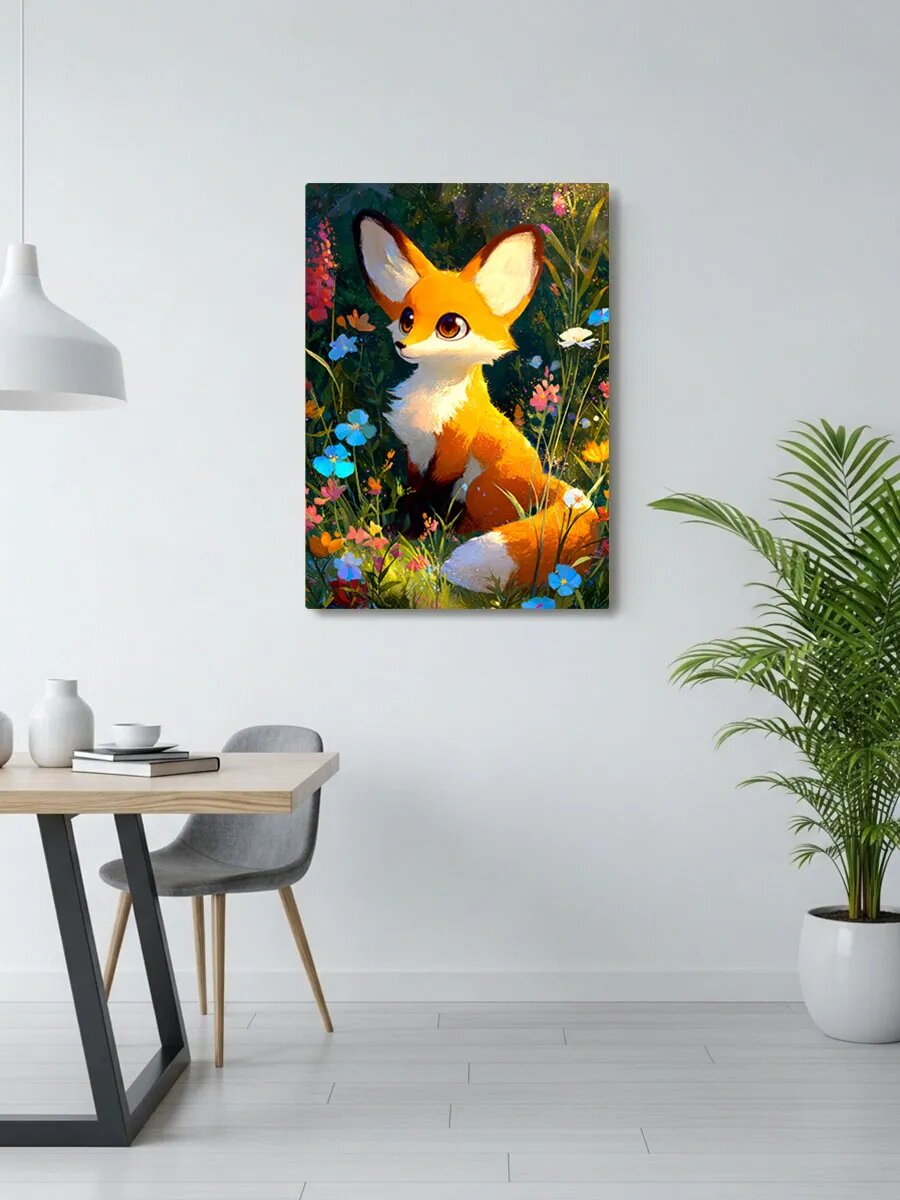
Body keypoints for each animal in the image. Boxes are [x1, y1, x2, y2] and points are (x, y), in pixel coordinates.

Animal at [352, 209, 601, 593]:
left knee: (478, 520)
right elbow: (413, 492)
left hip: (481, 488)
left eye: (449, 327)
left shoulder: (452, 450)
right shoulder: (416, 450)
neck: (434, 397)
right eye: (407, 318)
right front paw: (400, 527)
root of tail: (542, 478)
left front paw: (417, 533)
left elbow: (430, 497)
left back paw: (454, 532)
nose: (402, 346)